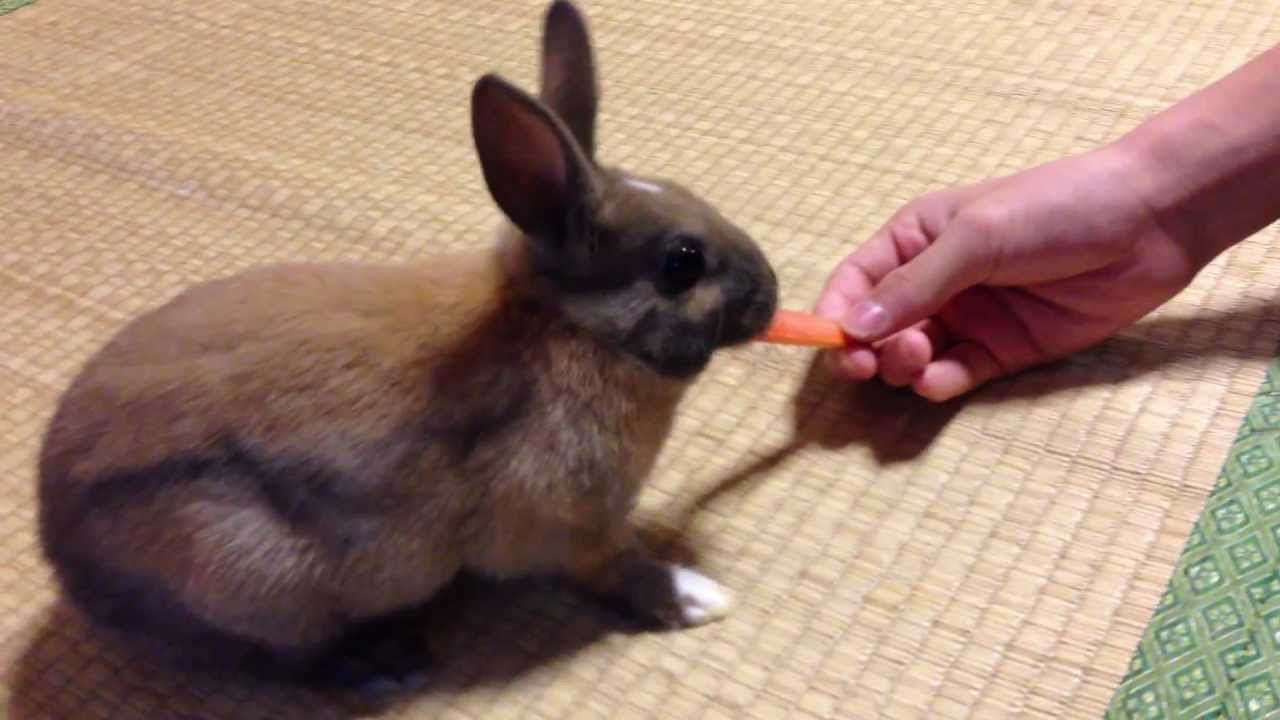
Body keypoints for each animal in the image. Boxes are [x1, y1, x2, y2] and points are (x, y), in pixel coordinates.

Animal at [36, 0, 777, 697]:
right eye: (682, 263)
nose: (771, 293)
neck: (565, 327)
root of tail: (64, 559)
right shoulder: (574, 526)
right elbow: (616, 568)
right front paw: (695, 596)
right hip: (253, 575)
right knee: (288, 659)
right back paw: (386, 662)